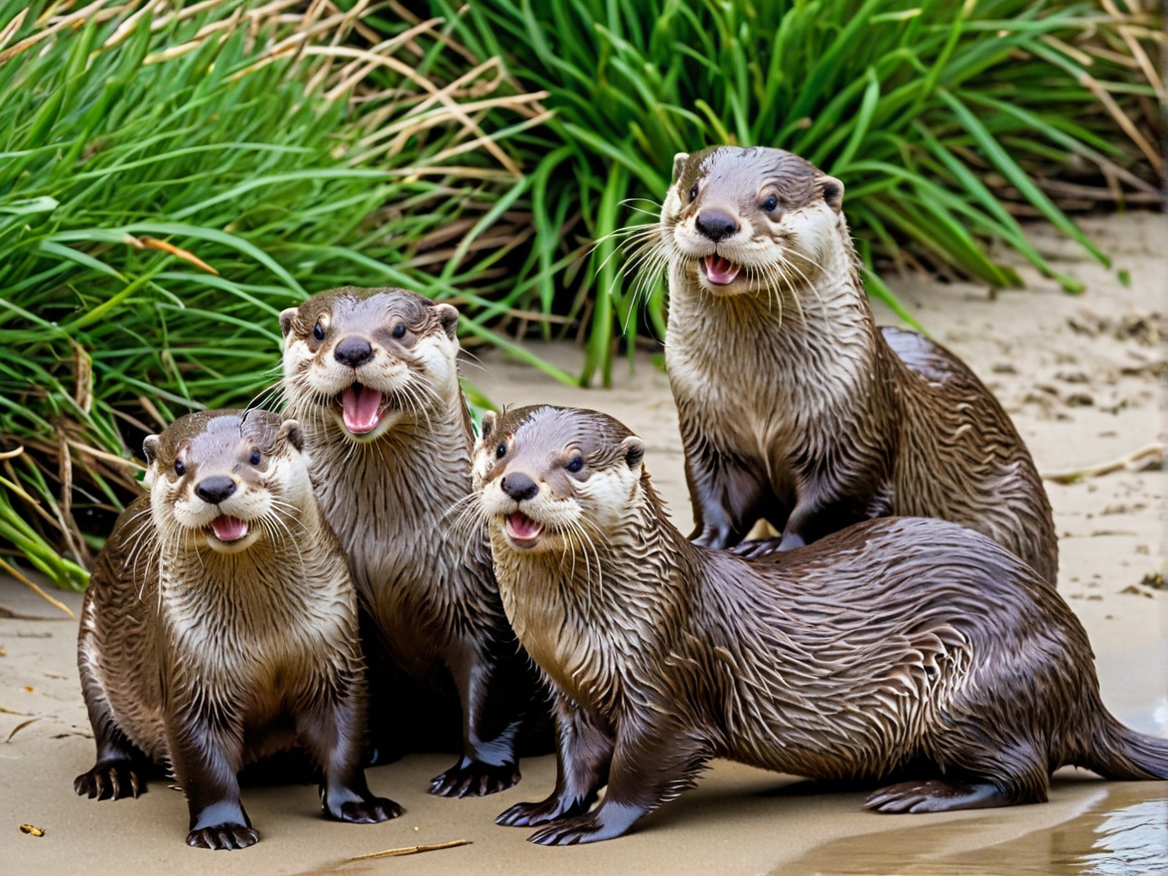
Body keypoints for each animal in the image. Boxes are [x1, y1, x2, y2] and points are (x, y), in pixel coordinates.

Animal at [74, 410, 399, 850]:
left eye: (256, 455)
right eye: (180, 466)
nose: (214, 486)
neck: (264, 634)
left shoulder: (334, 653)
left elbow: (344, 736)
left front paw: (358, 803)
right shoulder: (193, 670)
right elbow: (202, 760)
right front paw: (222, 827)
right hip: (90, 643)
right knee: (107, 728)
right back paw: (110, 776)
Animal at [280, 286, 549, 798]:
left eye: (400, 329)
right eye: (320, 331)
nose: (353, 348)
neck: (387, 552)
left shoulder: (481, 602)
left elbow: (491, 694)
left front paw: (479, 770)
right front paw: (367, 750)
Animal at [472, 405, 1167, 845]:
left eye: (576, 462)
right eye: (501, 448)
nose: (519, 482)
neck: (582, 632)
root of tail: (1084, 681)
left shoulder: (669, 679)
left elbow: (640, 770)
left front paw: (589, 825)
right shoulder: (570, 692)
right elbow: (576, 761)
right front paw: (543, 809)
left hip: (978, 688)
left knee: (1024, 777)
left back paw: (919, 794)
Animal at [648, 145, 1056, 582]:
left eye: (771, 201)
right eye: (693, 191)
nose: (715, 221)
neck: (757, 398)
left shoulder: (855, 434)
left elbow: (825, 508)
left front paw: (773, 546)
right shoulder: (708, 432)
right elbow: (715, 499)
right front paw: (704, 540)